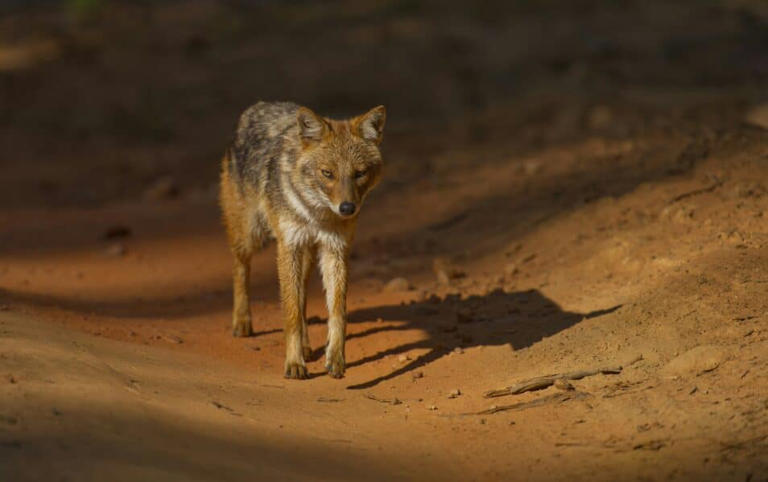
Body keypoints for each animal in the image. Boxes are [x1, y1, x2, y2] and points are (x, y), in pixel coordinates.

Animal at [219, 101, 386, 379]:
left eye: (359, 173)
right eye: (327, 173)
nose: (347, 208)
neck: (316, 214)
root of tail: (258, 105)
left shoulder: (335, 248)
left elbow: (337, 311)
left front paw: (335, 359)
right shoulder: (288, 246)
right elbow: (291, 313)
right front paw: (295, 364)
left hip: (306, 255)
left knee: (303, 296)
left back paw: (308, 346)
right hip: (251, 235)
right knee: (240, 267)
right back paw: (242, 322)